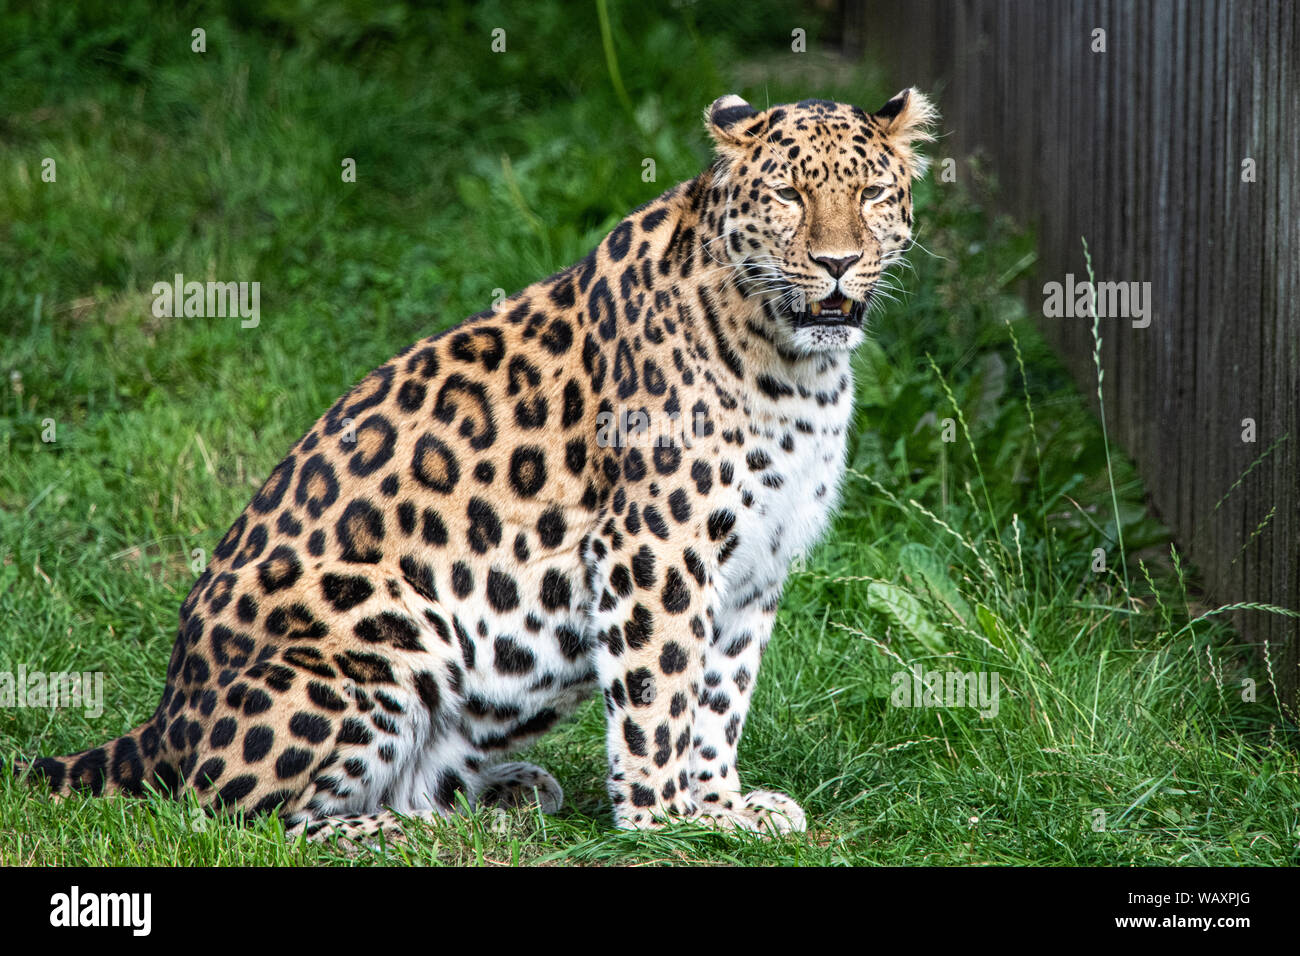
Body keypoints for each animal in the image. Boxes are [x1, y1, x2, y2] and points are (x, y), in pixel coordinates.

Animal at [13, 90, 937, 842]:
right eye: (789, 195)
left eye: (871, 194)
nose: (837, 263)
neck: (798, 366)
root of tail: (164, 719)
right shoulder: (655, 546)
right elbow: (662, 691)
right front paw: (666, 821)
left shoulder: (756, 563)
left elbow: (721, 695)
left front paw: (723, 805)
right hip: (384, 629)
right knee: (236, 814)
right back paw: (406, 833)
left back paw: (500, 798)